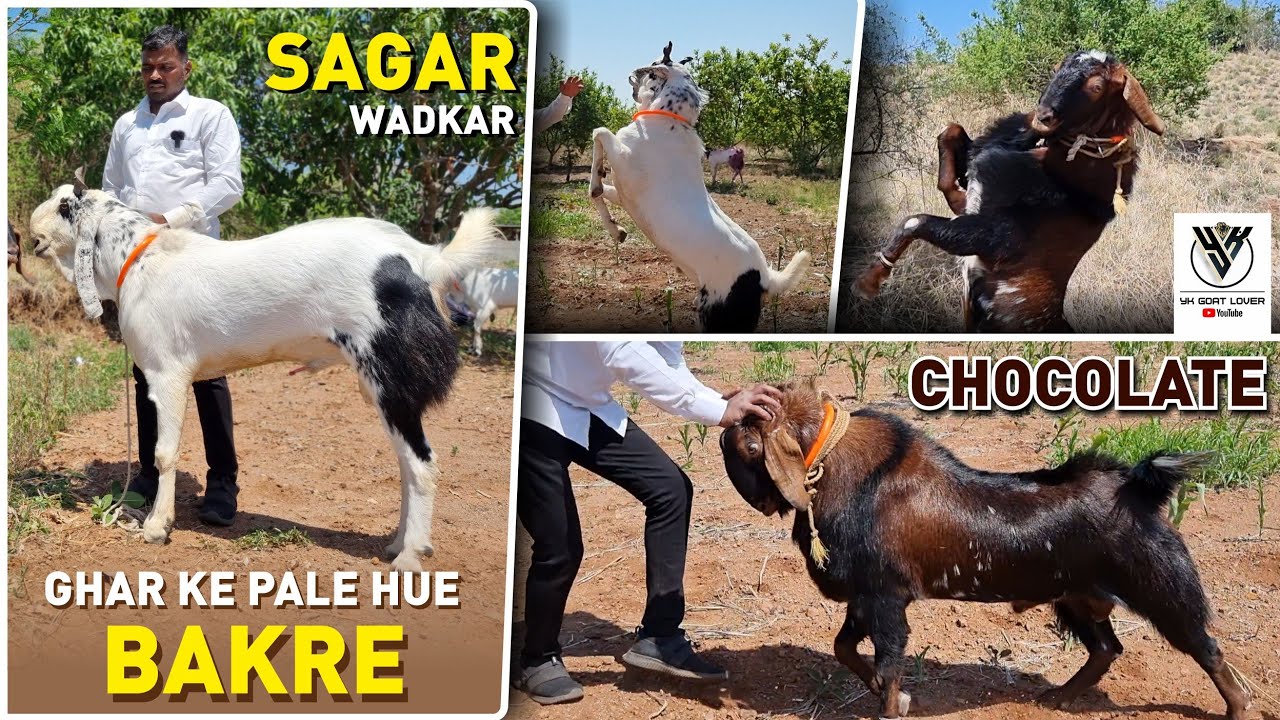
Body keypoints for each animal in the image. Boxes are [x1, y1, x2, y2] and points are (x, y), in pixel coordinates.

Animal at [28, 171, 509, 572]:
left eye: (65, 205)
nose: (31, 234)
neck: (140, 258)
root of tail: (422, 258)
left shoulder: (167, 374)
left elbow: (165, 453)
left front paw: (156, 527)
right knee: (406, 463)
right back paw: (396, 543)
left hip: (391, 375)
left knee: (423, 464)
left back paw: (411, 554)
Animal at [588, 41, 811, 332]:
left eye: (652, 68)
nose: (631, 75)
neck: (668, 120)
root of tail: (763, 277)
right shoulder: (623, 195)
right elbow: (598, 193)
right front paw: (616, 229)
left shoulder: (623, 160)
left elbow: (599, 134)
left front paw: (598, 181)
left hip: (715, 318)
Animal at [720, 385, 1252, 720]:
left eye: (747, 445)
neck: (830, 466)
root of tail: (1138, 490)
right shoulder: (863, 596)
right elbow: (845, 648)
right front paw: (891, 694)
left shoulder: (886, 597)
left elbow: (888, 665)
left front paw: (891, 704)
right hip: (1077, 598)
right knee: (1107, 648)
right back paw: (1061, 697)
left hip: (1161, 588)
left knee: (1207, 648)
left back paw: (1238, 707)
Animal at [855, 51, 1164, 332]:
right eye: (1057, 69)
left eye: (1097, 86)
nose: (1043, 117)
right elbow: (951, 132)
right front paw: (954, 192)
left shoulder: (996, 238)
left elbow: (915, 221)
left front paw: (867, 284)